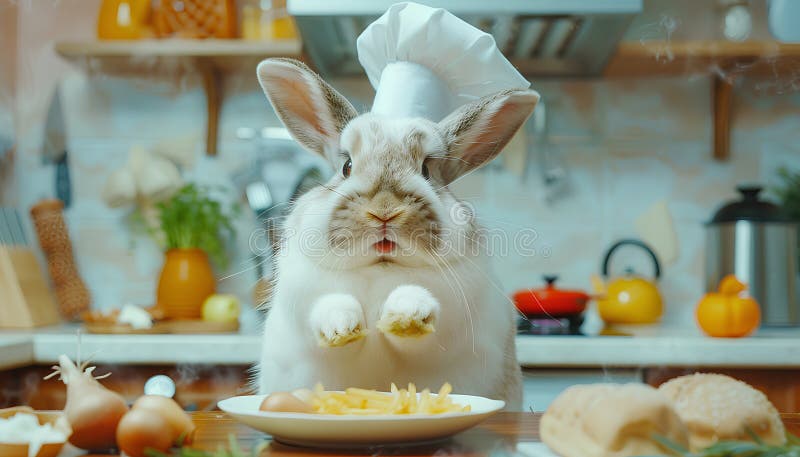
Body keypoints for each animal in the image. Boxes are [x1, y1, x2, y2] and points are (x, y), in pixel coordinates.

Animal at [254, 57, 539, 408]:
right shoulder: (304, 298)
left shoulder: (453, 316)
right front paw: (342, 326)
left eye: (427, 170)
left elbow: (421, 315)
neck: (381, 269)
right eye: (347, 167)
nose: (384, 210)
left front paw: (409, 313)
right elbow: (329, 307)